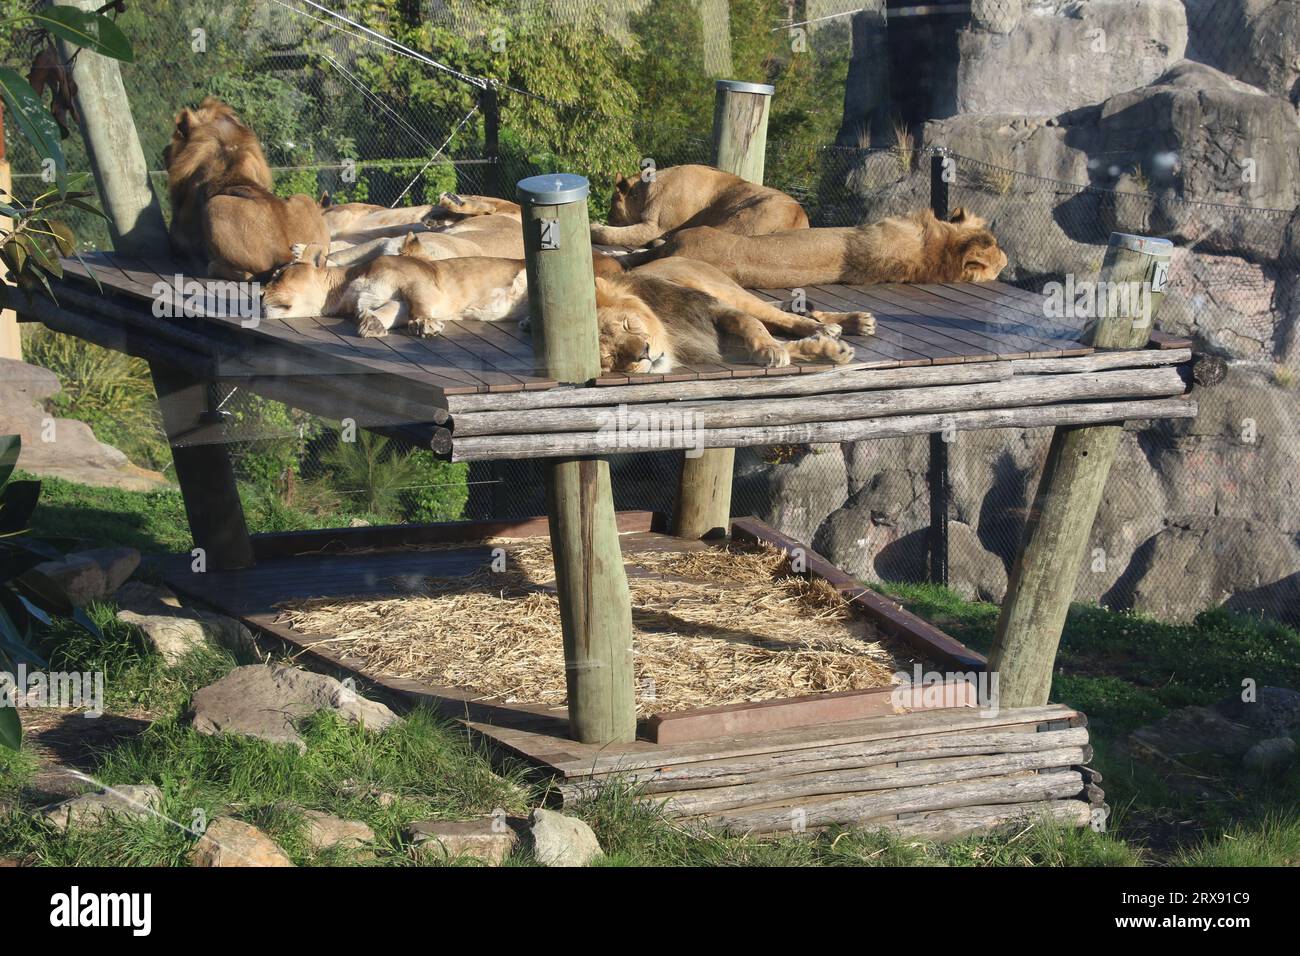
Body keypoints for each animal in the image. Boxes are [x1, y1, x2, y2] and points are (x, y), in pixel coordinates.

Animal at [164, 96, 329, 280]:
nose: (164, 151)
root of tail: (285, 252)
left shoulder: (178, 235)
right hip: (303, 198)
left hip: (215, 205)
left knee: (246, 274)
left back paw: (212, 266)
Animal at [260, 247, 527, 338]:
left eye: (278, 275)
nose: (261, 295)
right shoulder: (388, 298)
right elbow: (391, 310)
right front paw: (373, 324)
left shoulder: (419, 283)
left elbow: (419, 304)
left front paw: (425, 324)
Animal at [589, 164, 809, 248]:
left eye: (612, 203)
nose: (608, 216)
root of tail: (798, 218)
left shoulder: (655, 226)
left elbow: (611, 235)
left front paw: (594, 227)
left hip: (741, 218)